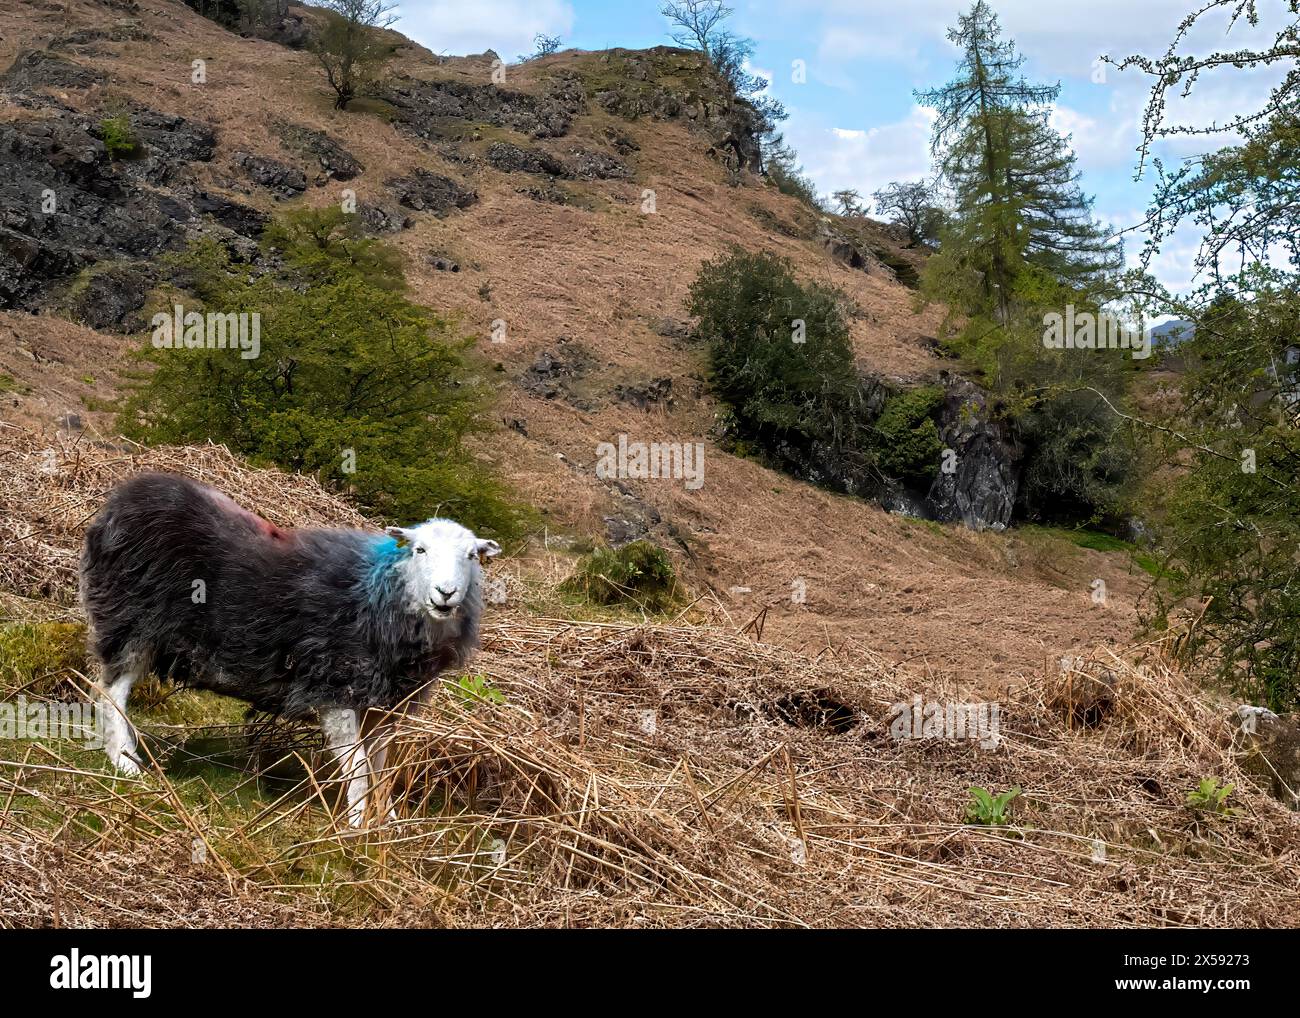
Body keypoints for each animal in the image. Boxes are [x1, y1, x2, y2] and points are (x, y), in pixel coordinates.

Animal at [79, 472, 500, 826]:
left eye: (471, 556)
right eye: (419, 550)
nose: (446, 593)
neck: (381, 593)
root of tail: (124, 498)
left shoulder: (387, 703)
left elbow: (382, 767)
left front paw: (388, 822)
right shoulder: (335, 685)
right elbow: (359, 768)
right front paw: (358, 827)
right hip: (133, 621)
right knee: (112, 691)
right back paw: (124, 761)